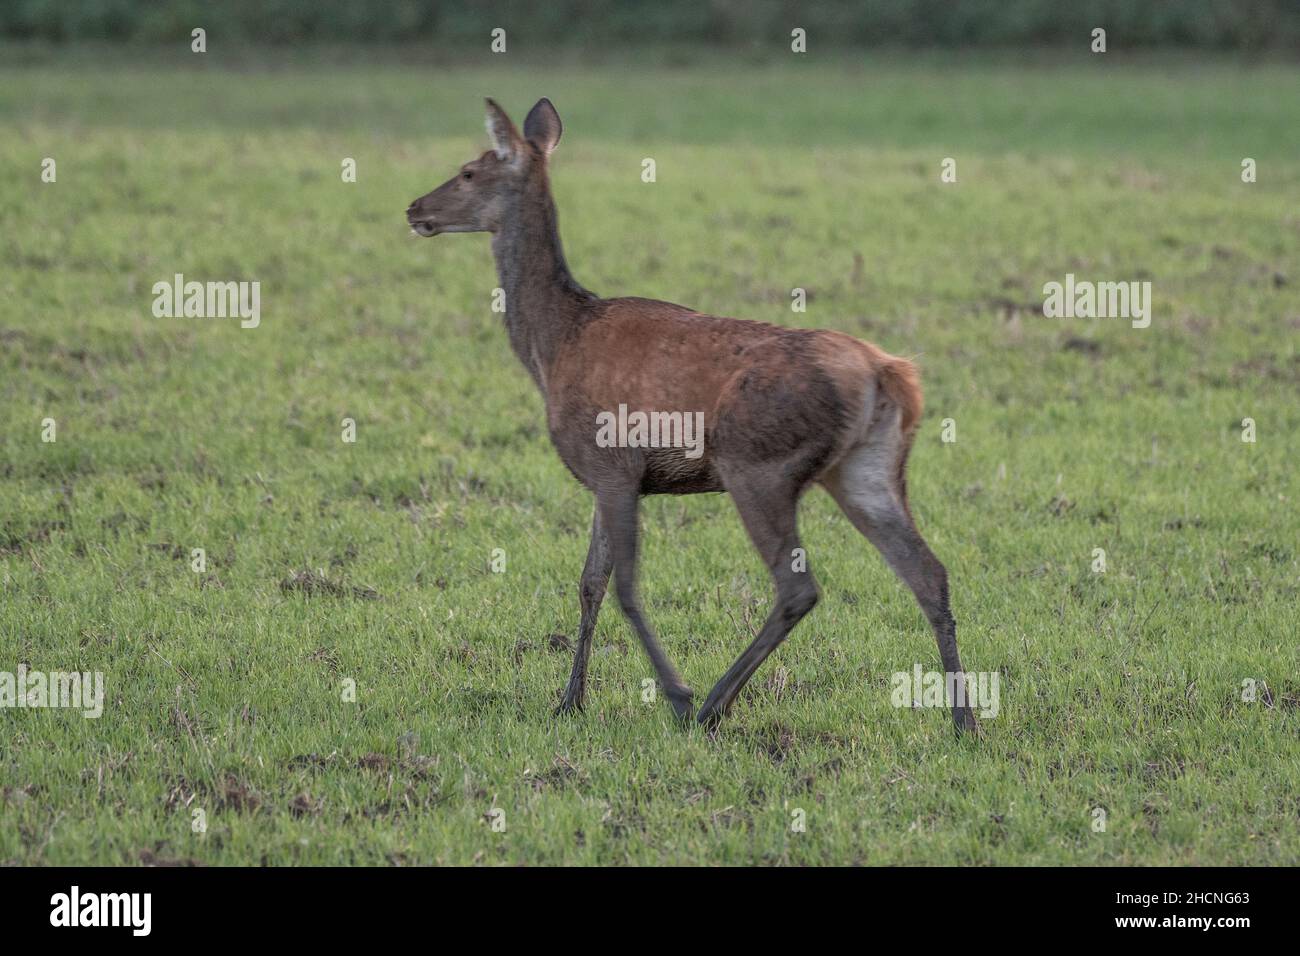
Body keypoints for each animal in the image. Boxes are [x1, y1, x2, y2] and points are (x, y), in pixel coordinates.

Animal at [406, 98, 980, 733]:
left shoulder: (613, 463)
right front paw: (569, 699)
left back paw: (710, 704)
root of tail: (888, 372)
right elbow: (589, 583)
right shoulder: (607, 477)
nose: (415, 208)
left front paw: (673, 692)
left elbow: (625, 586)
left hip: (757, 463)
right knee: (928, 572)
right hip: (864, 468)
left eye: (468, 171)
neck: (554, 345)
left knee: (799, 588)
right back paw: (964, 719)